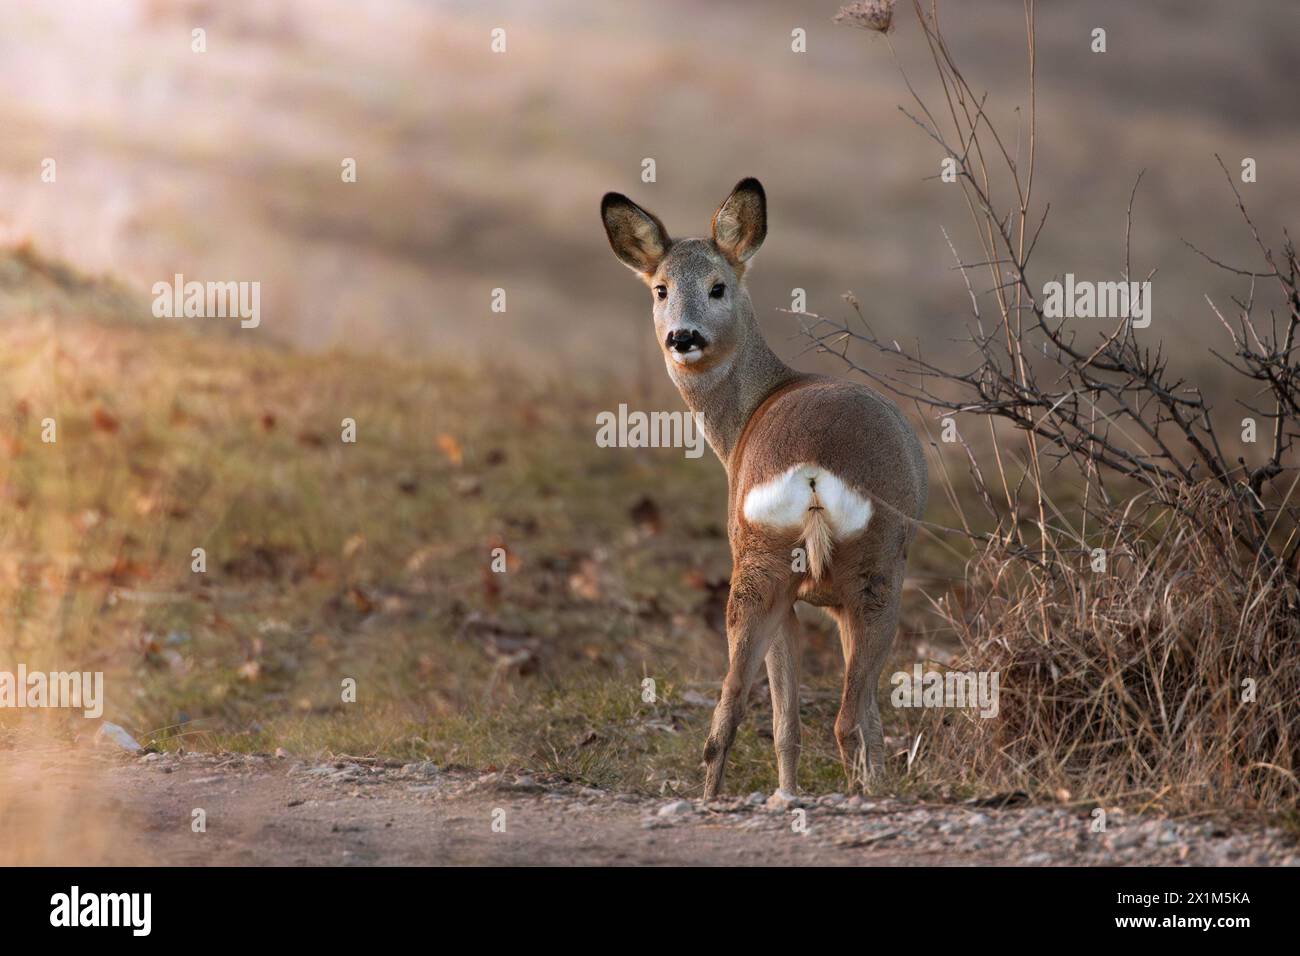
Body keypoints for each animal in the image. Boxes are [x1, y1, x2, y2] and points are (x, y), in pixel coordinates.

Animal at [600, 177, 928, 799]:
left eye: (718, 286)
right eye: (660, 289)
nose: (683, 337)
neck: (750, 411)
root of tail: (813, 473)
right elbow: (867, 717)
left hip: (757, 563)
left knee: (726, 715)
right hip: (874, 570)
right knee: (849, 718)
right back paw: (866, 792)